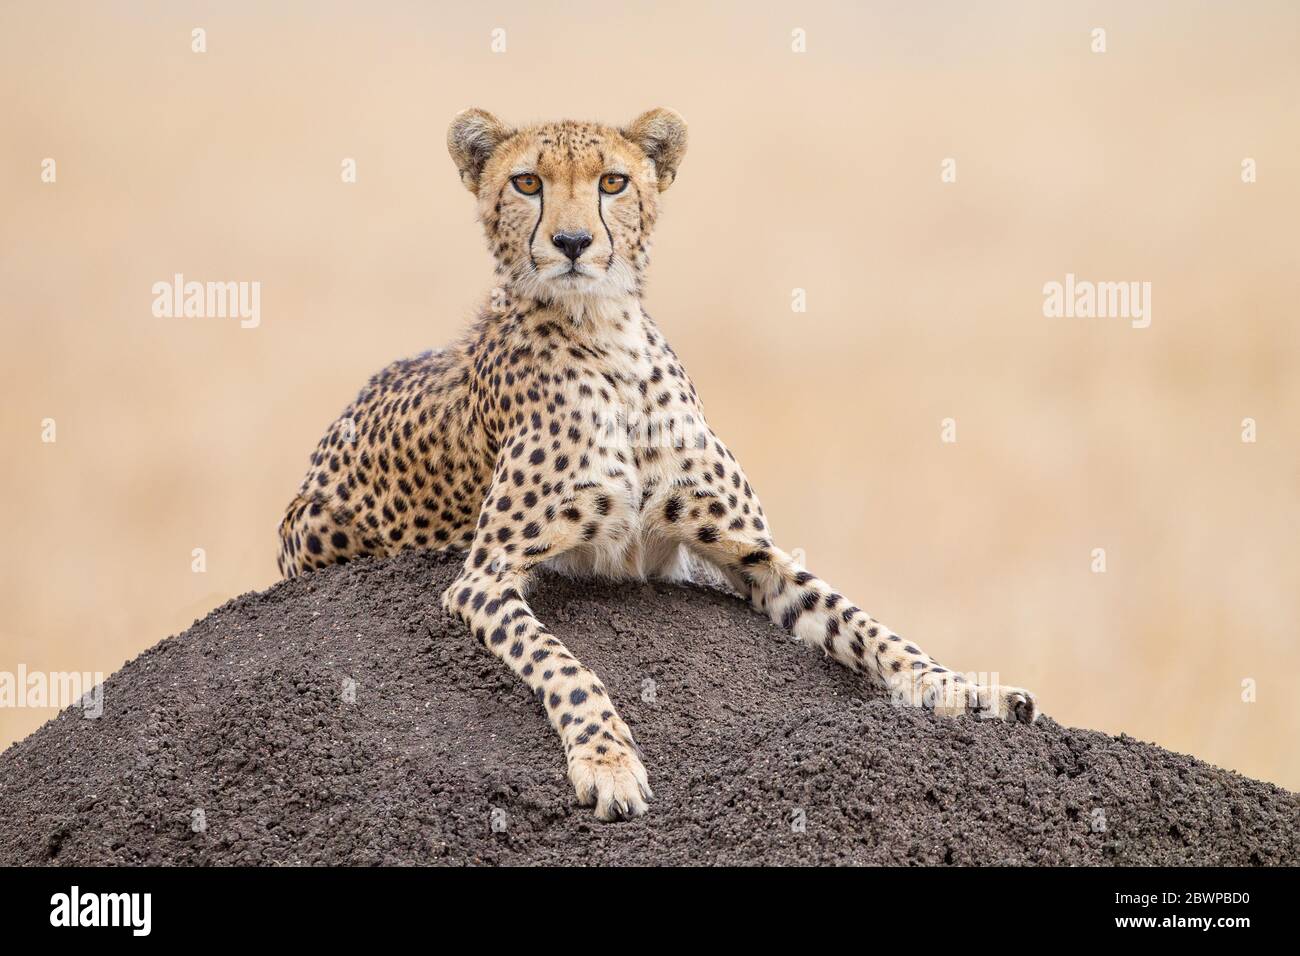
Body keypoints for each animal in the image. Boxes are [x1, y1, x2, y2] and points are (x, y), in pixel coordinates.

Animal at [279, 104, 1040, 822]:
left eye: (613, 182)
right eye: (527, 183)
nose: (574, 243)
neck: (605, 336)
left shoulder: (750, 554)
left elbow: (860, 619)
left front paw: (963, 688)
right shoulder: (482, 578)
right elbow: (565, 664)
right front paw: (608, 761)